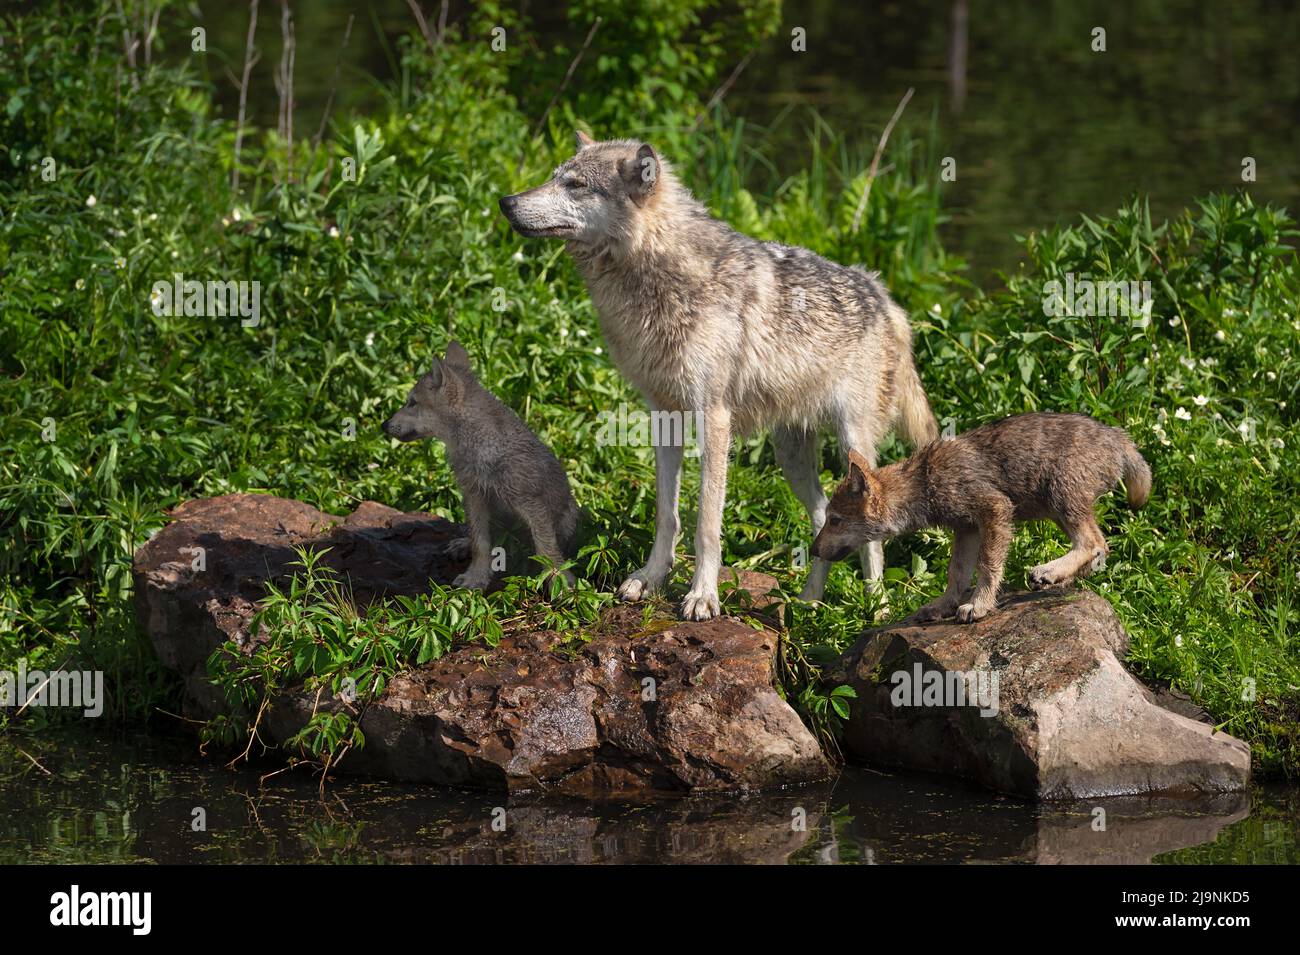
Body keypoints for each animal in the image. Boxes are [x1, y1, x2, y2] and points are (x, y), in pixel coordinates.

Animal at [382, 342, 581, 589]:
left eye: (412, 403)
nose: (384, 425)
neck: (479, 445)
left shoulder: (533, 504)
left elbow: (548, 550)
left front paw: (560, 582)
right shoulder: (474, 495)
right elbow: (480, 543)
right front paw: (476, 577)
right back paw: (462, 545)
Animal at [500, 131, 937, 620]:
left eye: (575, 185)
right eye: (553, 177)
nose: (506, 201)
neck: (655, 275)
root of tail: (885, 296)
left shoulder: (714, 419)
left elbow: (706, 521)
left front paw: (701, 596)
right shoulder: (663, 416)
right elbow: (667, 514)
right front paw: (650, 579)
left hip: (852, 443)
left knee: (872, 534)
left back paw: (876, 608)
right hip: (791, 459)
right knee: (824, 516)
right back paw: (808, 602)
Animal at [810, 412, 1152, 623]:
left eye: (835, 520)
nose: (812, 550)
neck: (924, 483)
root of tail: (1120, 438)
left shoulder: (995, 510)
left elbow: (987, 567)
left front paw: (979, 604)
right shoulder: (966, 529)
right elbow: (957, 573)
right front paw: (944, 606)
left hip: (1060, 497)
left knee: (1092, 543)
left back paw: (1048, 571)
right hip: (1057, 508)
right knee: (1101, 548)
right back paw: (1056, 578)